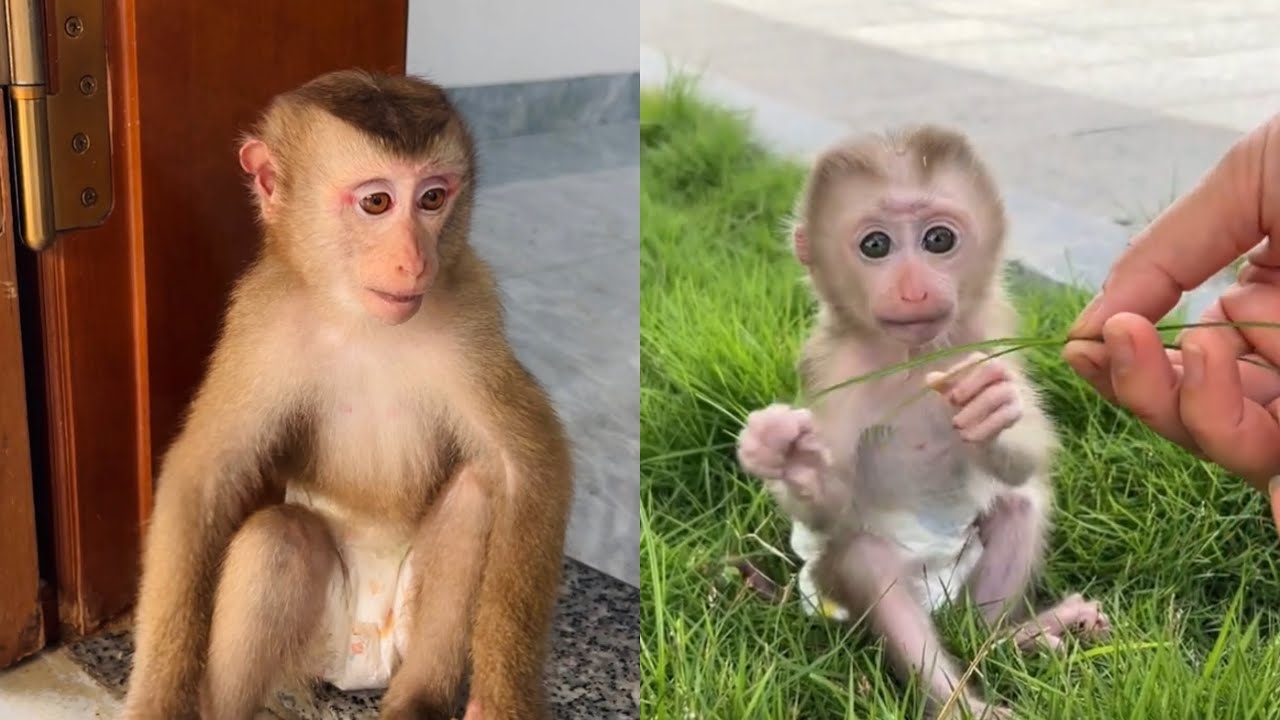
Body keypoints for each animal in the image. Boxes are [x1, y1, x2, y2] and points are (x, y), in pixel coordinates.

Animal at [119, 69, 573, 720]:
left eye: (432, 199)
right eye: (376, 202)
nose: (414, 261)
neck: (361, 321)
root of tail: (364, 665)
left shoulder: (473, 315)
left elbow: (529, 465)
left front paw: (501, 700)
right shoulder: (259, 324)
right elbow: (202, 477)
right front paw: (159, 697)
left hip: (402, 636)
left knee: (478, 497)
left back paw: (419, 700)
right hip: (317, 649)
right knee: (279, 541)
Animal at [736, 126, 1109, 719]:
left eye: (938, 240)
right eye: (875, 246)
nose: (914, 289)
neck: (910, 358)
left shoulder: (986, 340)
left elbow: (1026, 458)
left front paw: (992, 409)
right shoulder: (836, 373)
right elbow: (831, 508)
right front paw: (792, 460)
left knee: (1019, 504)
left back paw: (1011, 637)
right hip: (830, 595)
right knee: (867, 562)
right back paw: (964, 704)